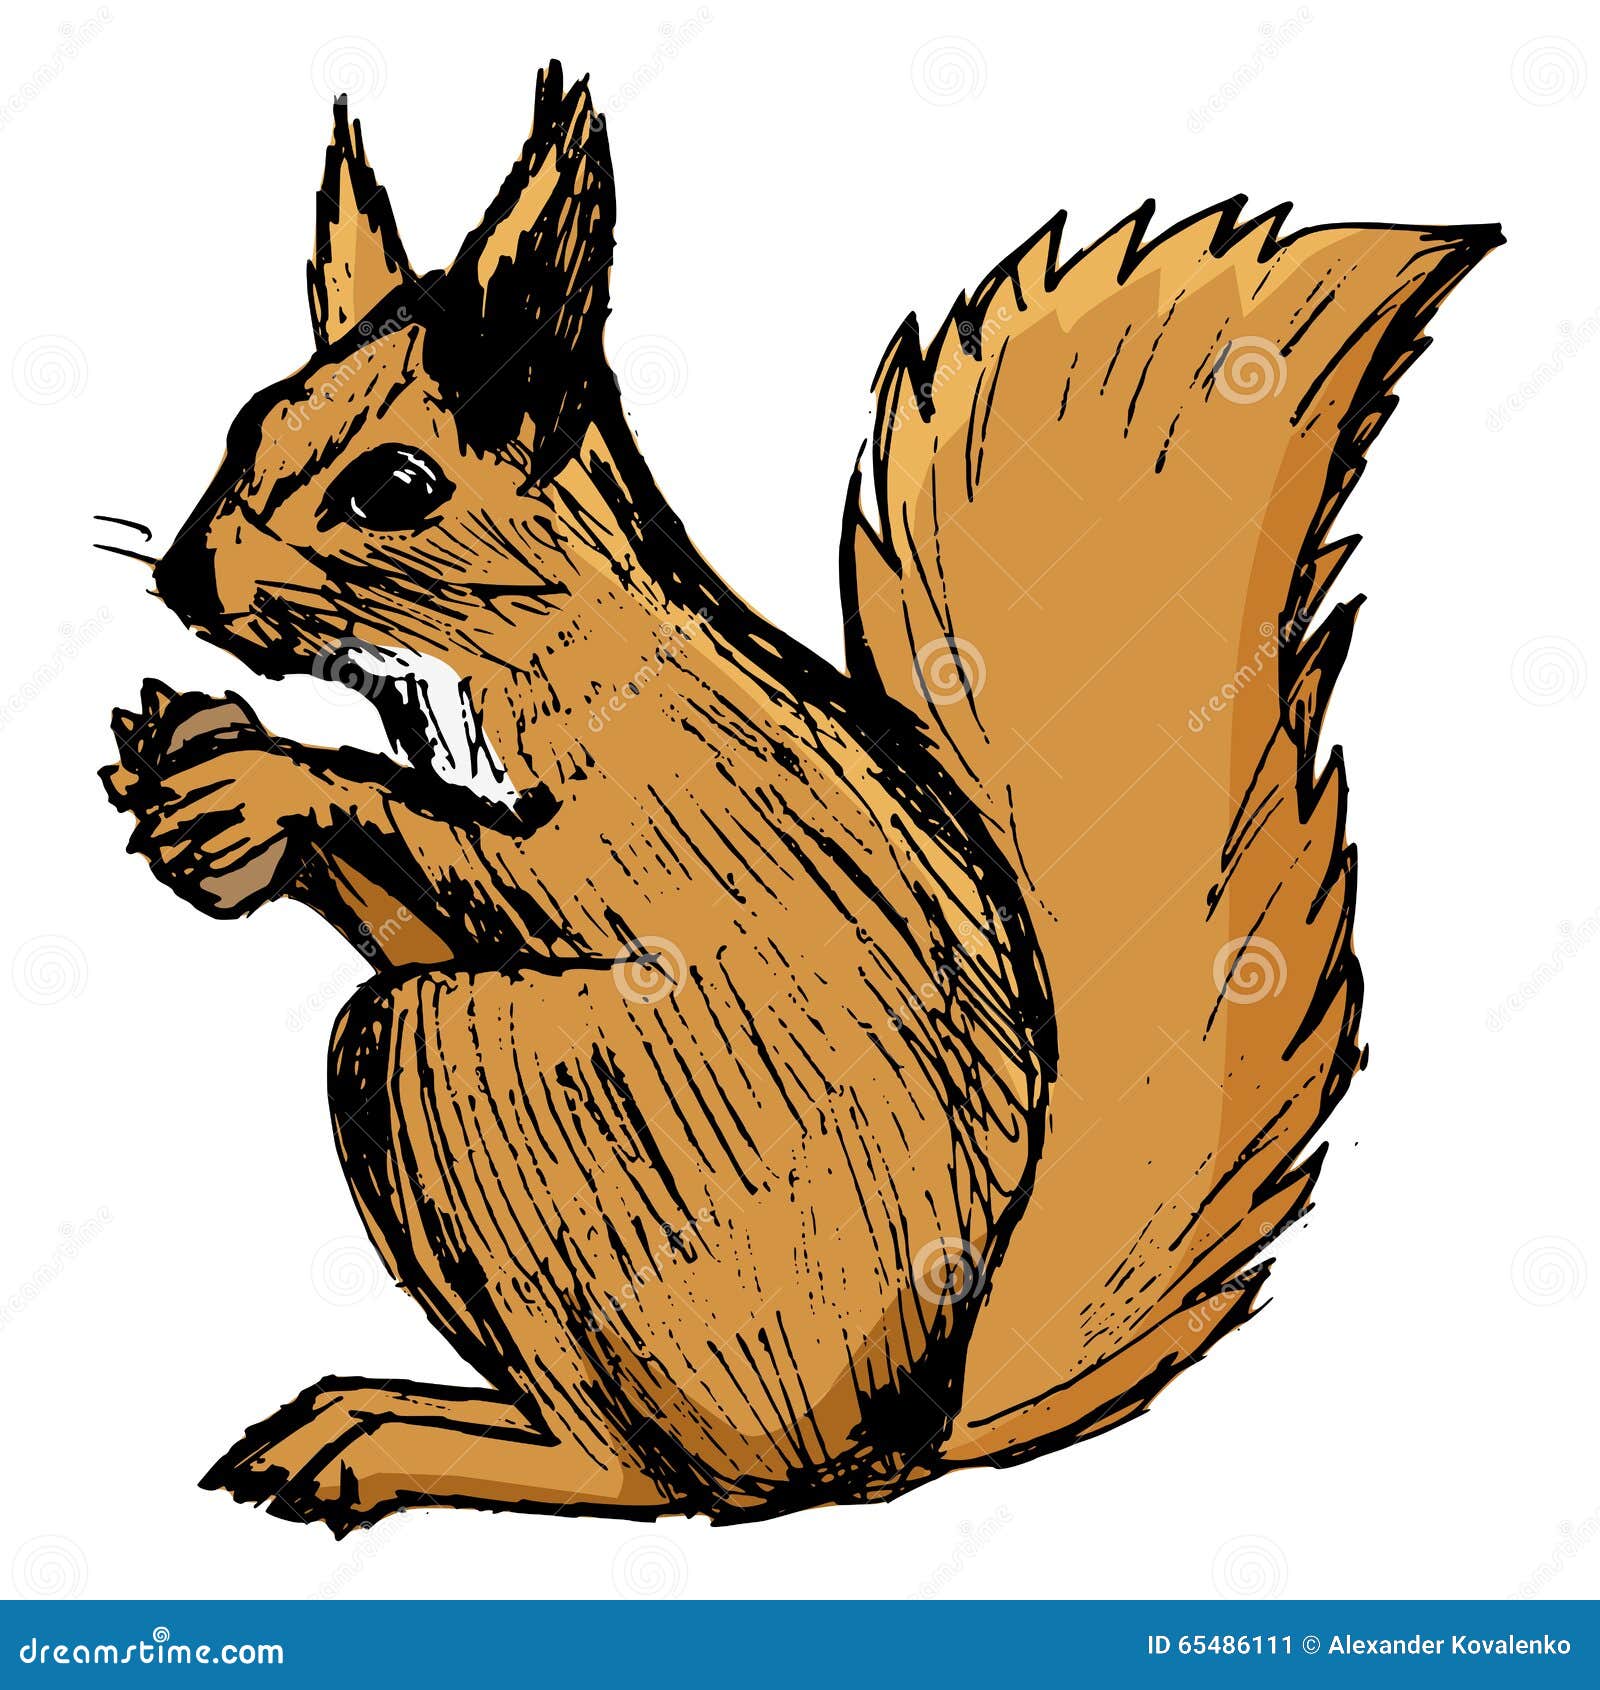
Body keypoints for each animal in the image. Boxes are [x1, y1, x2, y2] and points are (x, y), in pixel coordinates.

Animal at [101, 64, 1499, 1534]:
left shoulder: (650, 810)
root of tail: (898, 1432)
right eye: (247, 422)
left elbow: (509, 871)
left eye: (394, 487)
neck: (502, 662)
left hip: (479, 1079)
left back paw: (410, 1440)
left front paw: (274, 778)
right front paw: (189, 781)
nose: (186, 582)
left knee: (652, 1471)